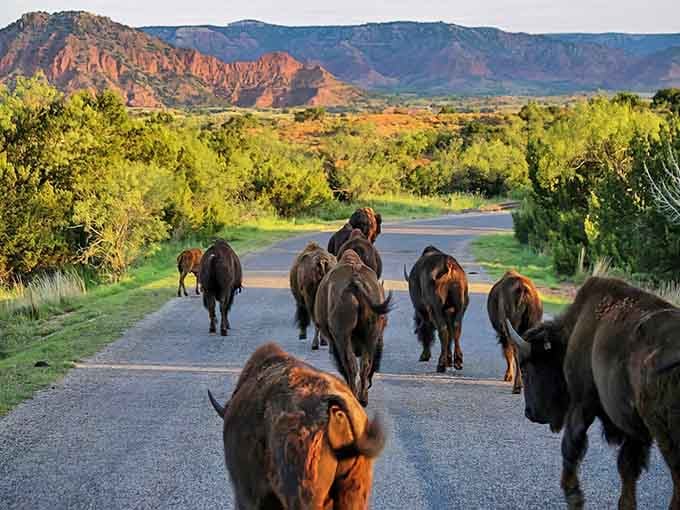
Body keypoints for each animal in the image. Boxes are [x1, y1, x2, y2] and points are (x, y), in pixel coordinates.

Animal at [315, 249, 393, 406]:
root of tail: (354, 281)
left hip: (342, 336)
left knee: (350, 365)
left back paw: (354, 395)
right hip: (371, 334)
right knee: (365, 365)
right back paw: (363, 398)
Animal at [506, 276, 680, 510]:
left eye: (526, 369)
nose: (529, 413)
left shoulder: (582, 404)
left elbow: (571, 447)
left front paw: (574, 498)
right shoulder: (634, 429)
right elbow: (627, 468)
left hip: (666, 435)